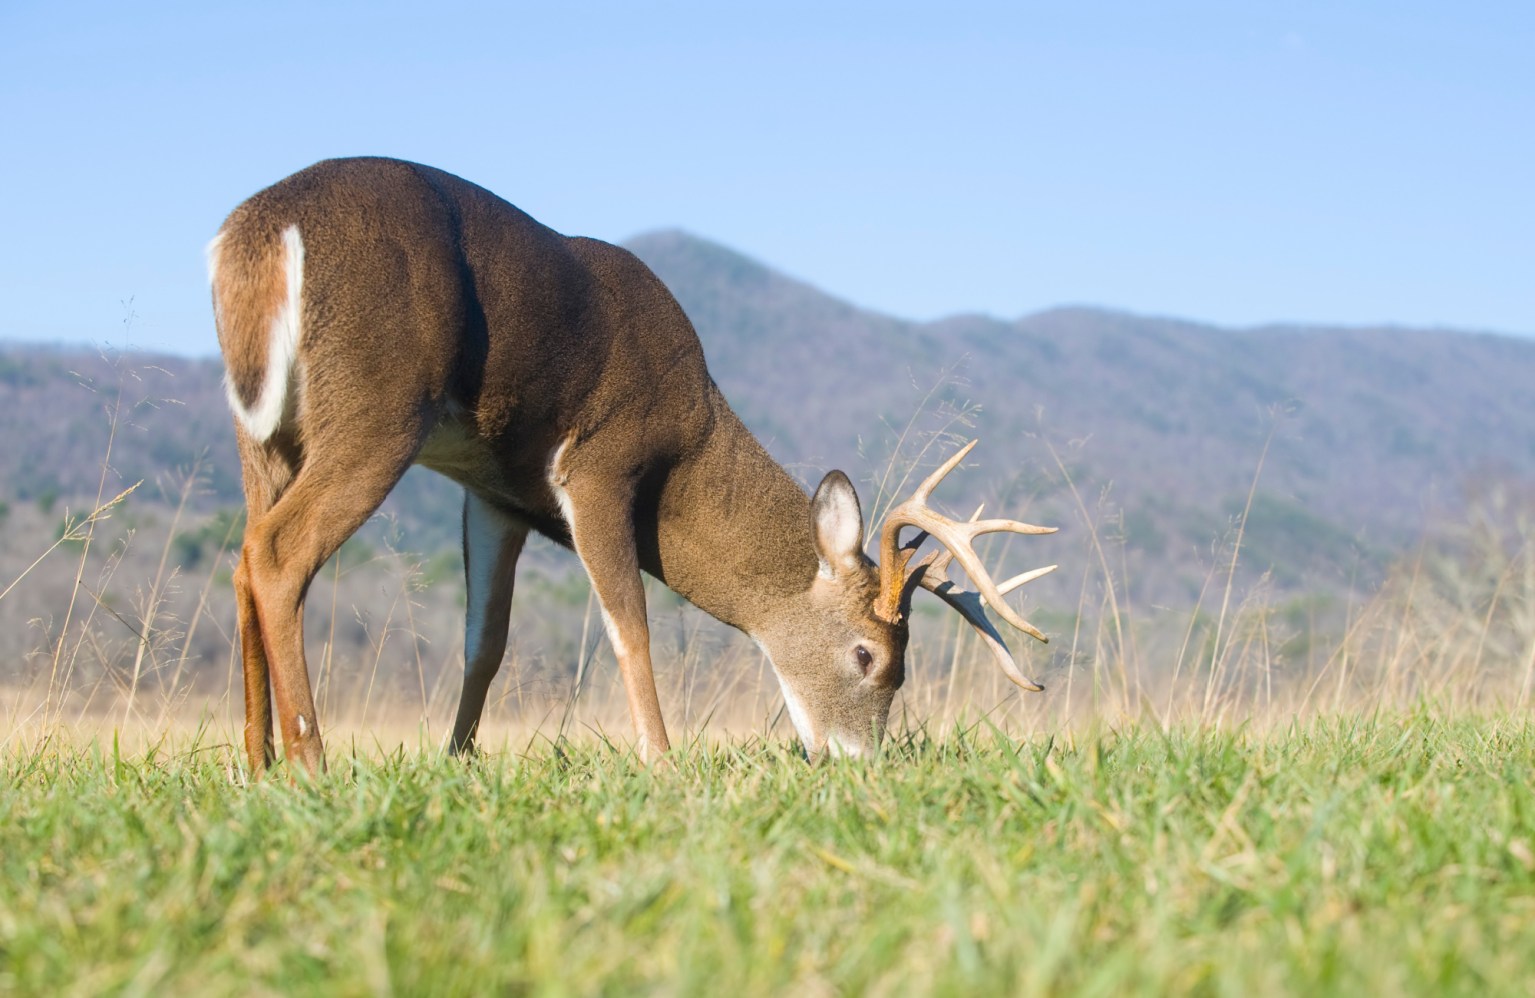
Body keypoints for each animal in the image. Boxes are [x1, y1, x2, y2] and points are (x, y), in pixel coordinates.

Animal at [207, 157, 1057, 777]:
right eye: (868, 654)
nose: (858, 760)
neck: (689, 432)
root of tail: (256, 234)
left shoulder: (494, 494)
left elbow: (485, 642)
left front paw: (457, 757)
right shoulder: (598, 460)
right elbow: (629, 625)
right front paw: (662, 760)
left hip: (264, 433)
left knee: (245, 556)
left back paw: (256, 761)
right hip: (379, 403)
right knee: (278, 554)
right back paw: (310, 762)